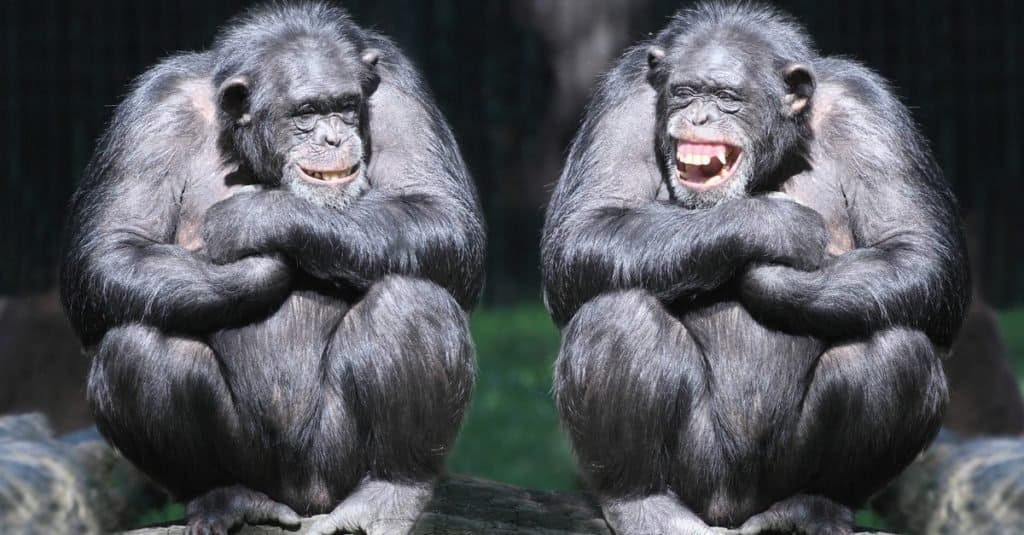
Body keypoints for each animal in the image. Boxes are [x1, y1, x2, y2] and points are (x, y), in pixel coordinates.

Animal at [59, 4, 483, 532]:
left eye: (346, 106)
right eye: (306, 112)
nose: (334, 136)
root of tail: (301, 499)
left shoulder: (400, 89)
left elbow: (441, 213)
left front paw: (256, 219)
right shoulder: (151, 112)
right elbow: (110, 249)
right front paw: (259, 269)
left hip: (334, 463)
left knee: (413, 301)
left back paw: (388, 493)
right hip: (258, 466)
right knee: (135, 344)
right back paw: (224, 498)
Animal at [544, 4, 966, 532]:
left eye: (727, 98)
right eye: (684, 92)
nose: (698, 116)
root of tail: (735, 507)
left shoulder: (873, 114)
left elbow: (919, 252)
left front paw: (776, 279)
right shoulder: (623, 100)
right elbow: (585, 228)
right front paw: (776, 226)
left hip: (780, 475)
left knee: (895, 345)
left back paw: (814, 506)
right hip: (701, 475)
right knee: (617, 316)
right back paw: (642, 502)